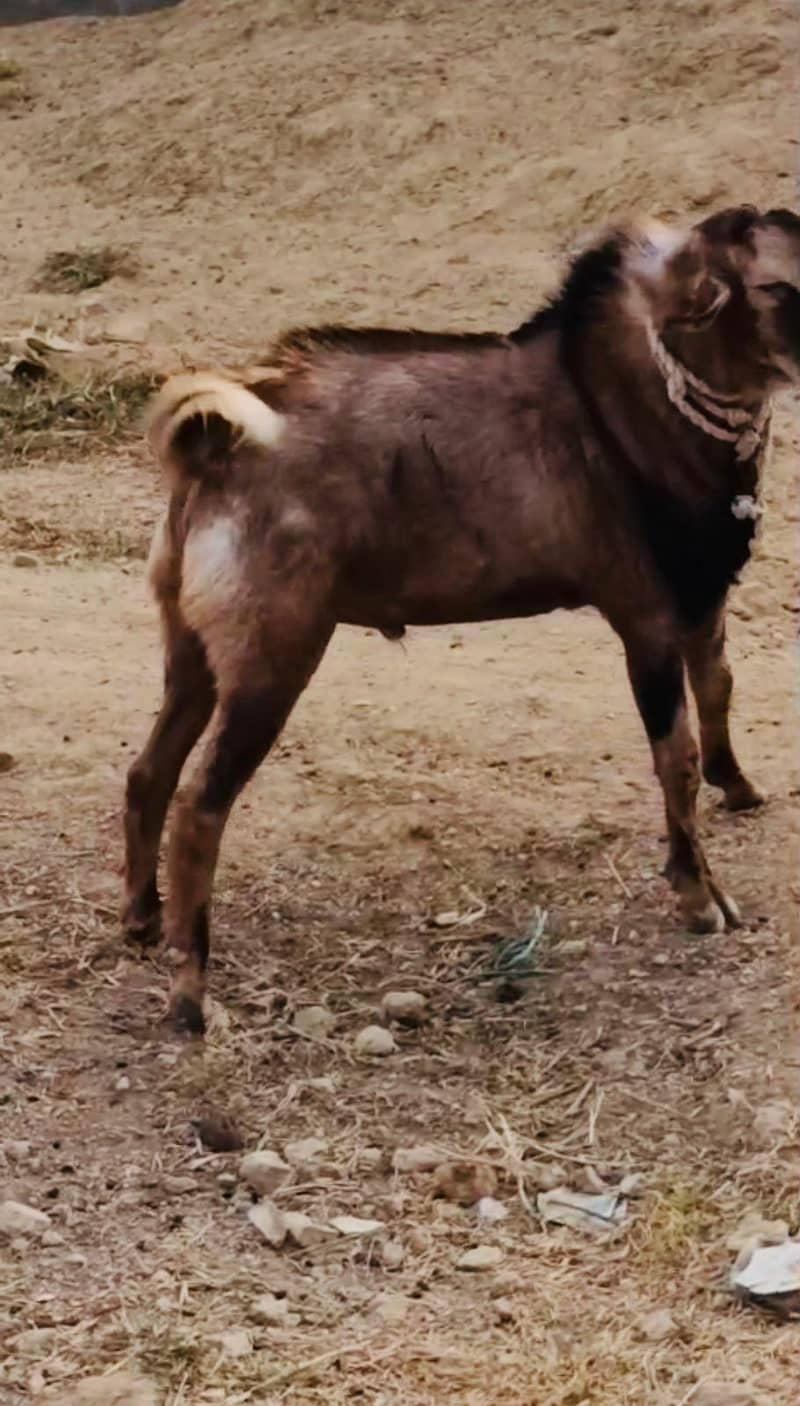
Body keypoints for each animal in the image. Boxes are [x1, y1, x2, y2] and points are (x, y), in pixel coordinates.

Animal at [123, 203, 799, 1034]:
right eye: (776, 284)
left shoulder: (703, 602)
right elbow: (676, 758)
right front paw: (701, 898)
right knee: (198, 808)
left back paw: (141, 918)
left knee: (148, 772)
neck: (625, 407)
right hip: (269, 665)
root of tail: (217, 445)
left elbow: (720, 692)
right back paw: (190, 996)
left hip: (191, 652)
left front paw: (740, 790)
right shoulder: (644, 620)